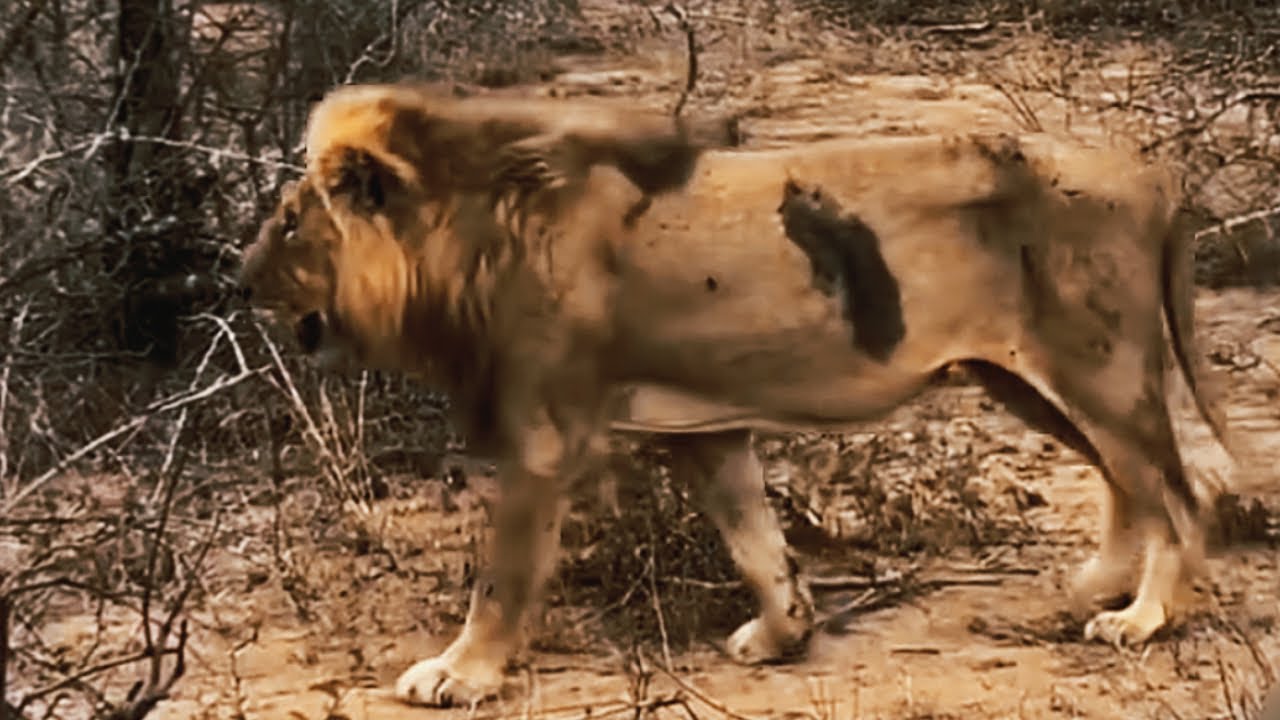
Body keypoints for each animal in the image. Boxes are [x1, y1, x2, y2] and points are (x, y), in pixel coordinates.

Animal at [239, 83, 1234, 708]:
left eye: (287, 224)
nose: (241, 279)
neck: (469, 237)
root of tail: (1151, 173)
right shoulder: (703, 429)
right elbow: (756, 543)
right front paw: (782, 633)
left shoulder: (540, 436)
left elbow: (501, 579)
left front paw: (460, 675)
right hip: (1026, 379)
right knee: (1128, 482)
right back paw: (1093, 588)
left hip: (1097, 369)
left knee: (1180, 494)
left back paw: (1142, 618)